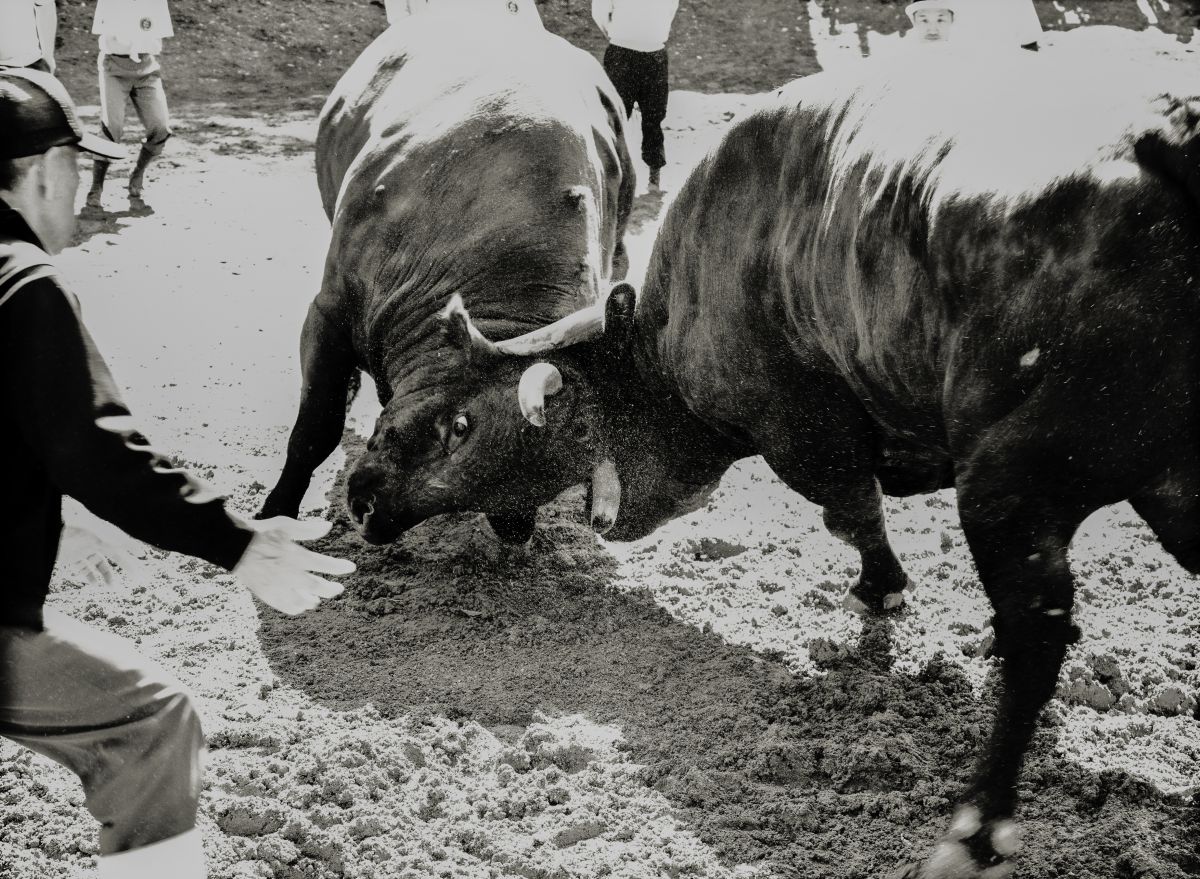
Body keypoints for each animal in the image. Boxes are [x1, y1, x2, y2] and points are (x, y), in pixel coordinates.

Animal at [259, 11, 635, 541]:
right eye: (460, 426)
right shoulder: (329, 311)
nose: (374, 513)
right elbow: (316, 429)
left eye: (527, 490)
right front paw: (276, 513)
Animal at [346, 47, 1200, 877]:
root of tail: (1166, 137)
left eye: (461, 425)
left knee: (1035, 631)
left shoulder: (802, 428)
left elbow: (853, 510)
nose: (362, 490)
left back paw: (978, 826)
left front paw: (880, 587)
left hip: (1006, 486)